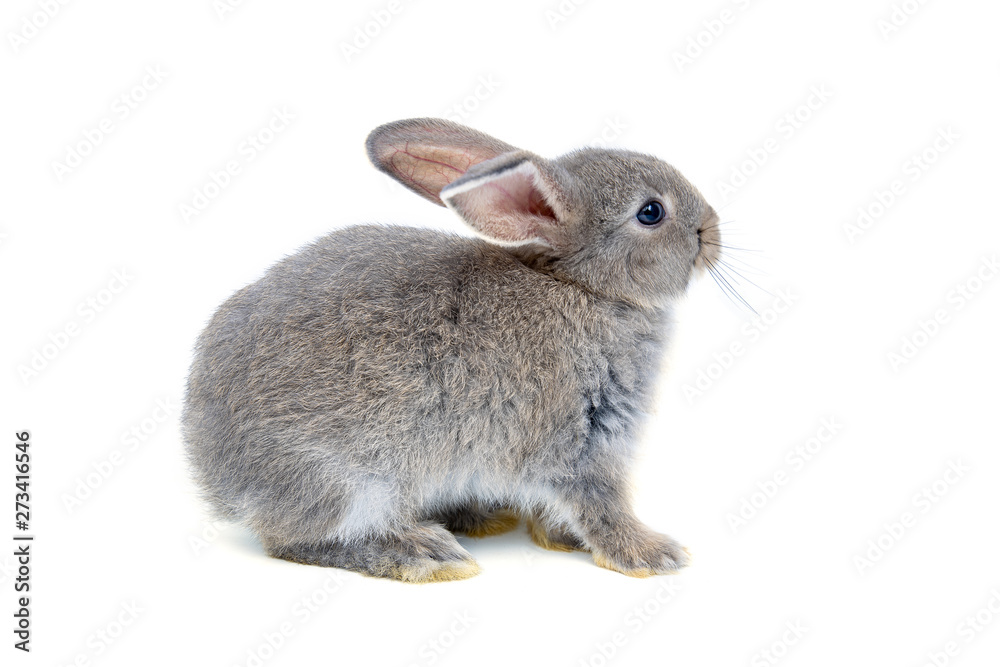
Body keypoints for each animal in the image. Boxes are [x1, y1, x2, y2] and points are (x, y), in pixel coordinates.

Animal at [182, 117, 721, 583]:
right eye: (651, 212)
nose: (712, 229)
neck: (583, 287)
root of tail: (212, 467)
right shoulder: (578, 442)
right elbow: (601, 505)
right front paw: (654, 554)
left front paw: (561, 538)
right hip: (349, 480)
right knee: (299, 540)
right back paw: (425, 553)